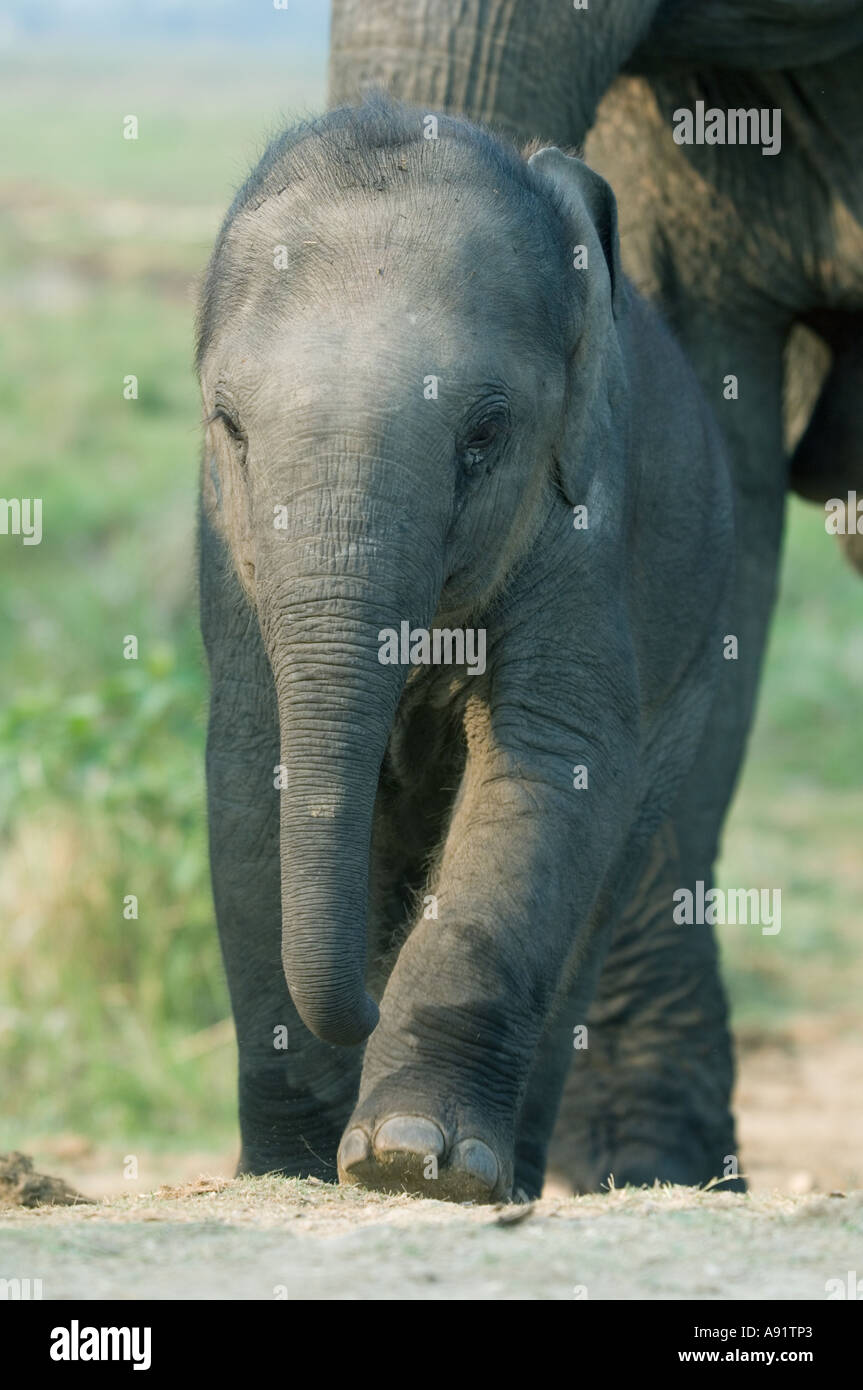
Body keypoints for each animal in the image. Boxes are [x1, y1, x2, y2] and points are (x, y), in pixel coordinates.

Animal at [196, 96, 734, 1202]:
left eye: (485, 434)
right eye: (229, 425)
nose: (361, 1000)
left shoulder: (586, 515)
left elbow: (548, 761)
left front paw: (414, 1160)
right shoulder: (226, 544)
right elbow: (250, 768)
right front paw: (293, 1171)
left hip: (695, 663)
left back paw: (505, 1174)